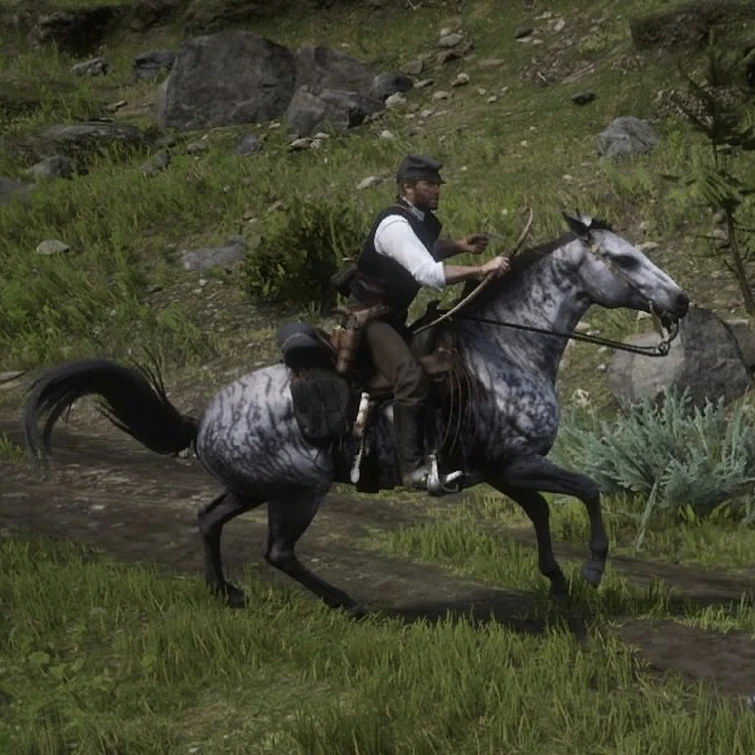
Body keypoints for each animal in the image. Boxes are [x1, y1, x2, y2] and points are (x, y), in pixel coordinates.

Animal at [22, 212, 690, 614]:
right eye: (624, 260)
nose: (680, 300)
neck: (504, 348)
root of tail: (201, 420)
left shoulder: (501, 469)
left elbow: (543, 513)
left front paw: (555, 578)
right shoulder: (519, 463)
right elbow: (588, 490)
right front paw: (592, 570)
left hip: (255, 488)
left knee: (208, 518)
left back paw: (226, 593)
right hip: (299, 492)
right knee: (278, 552)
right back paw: (345, 602)